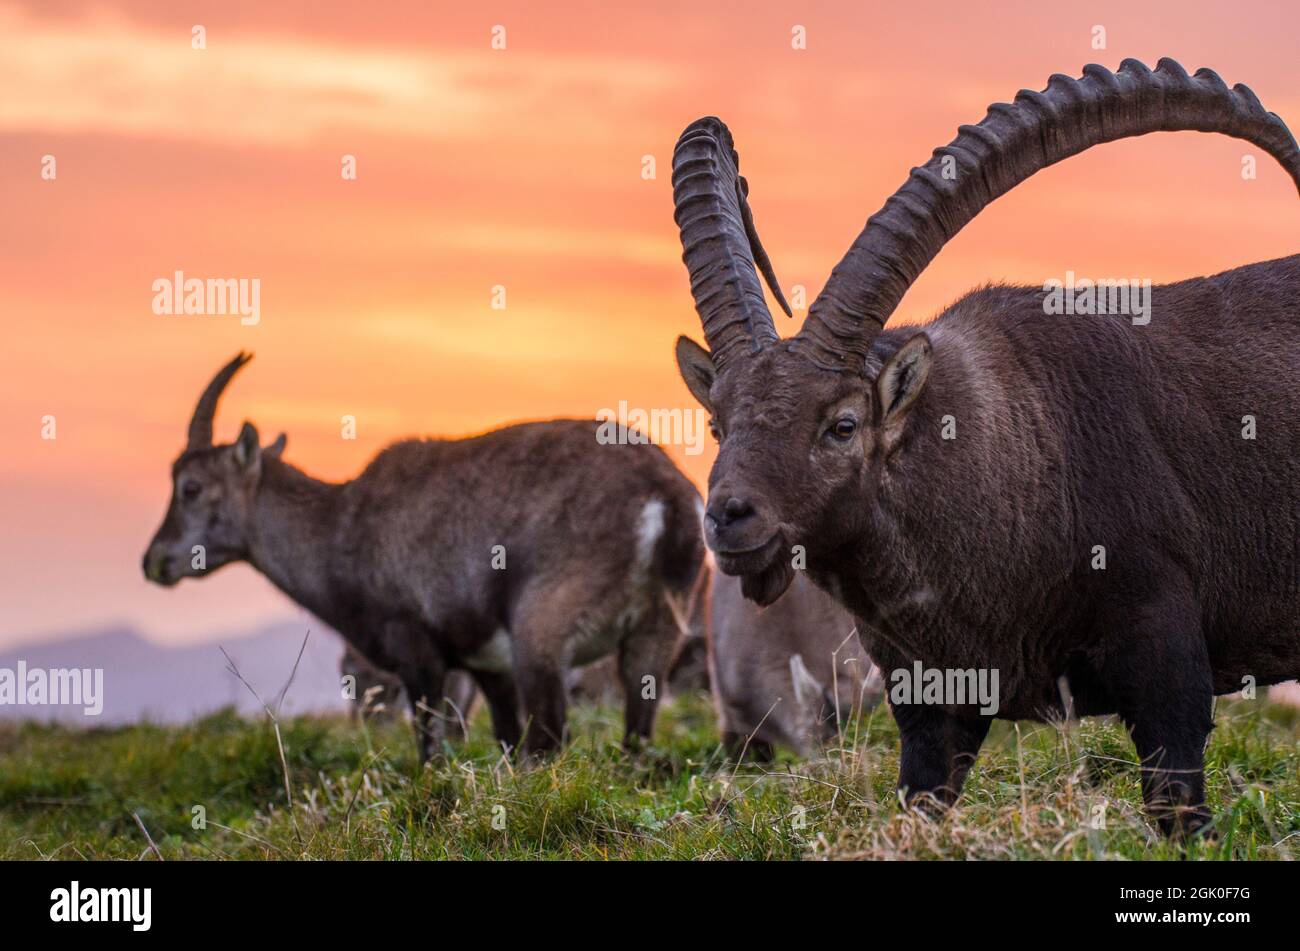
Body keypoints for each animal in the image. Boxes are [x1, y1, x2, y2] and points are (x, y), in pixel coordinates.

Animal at [143, 354, 705, 760]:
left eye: (190, 487)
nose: (153, 562)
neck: (342, 528)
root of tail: (666, 499)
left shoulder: (417, 650)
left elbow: (430, 747)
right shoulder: (487, 664)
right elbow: (507, 741)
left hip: (542, 631)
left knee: (552, 737)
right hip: (656, 632)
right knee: (636, 731)